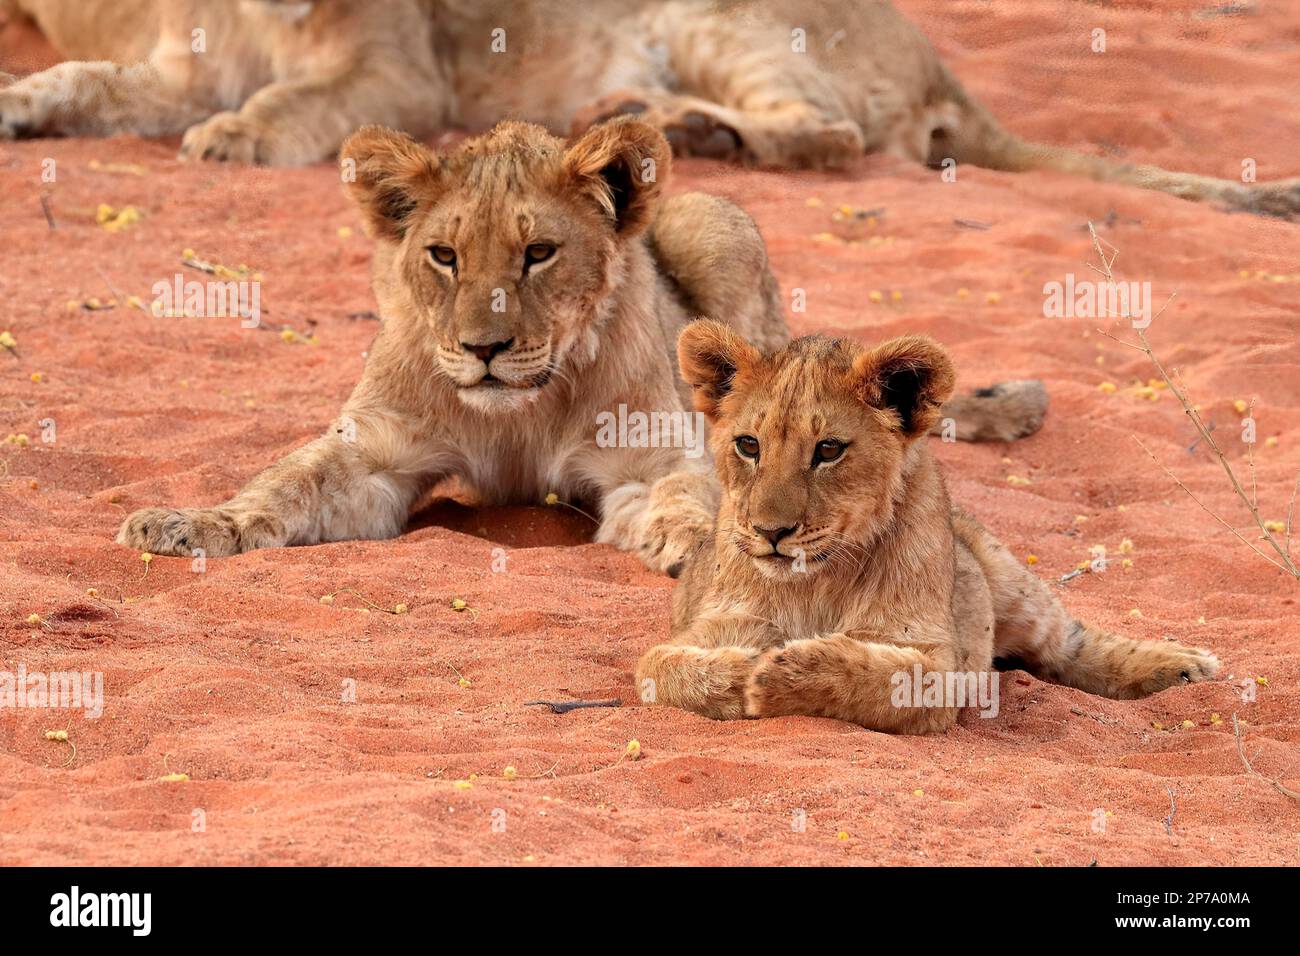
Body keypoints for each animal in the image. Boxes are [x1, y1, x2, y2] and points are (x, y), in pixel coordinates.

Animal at [113, 117, 1044, 569]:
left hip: (711, 225)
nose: (484, 349)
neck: (518, 409)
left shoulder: (653, 454)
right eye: (444, 255)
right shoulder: (372, 455)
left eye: (538, 252)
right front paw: (192, 524)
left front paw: (697, 542)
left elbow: (687, 492)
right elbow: (281, 484)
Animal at [635, 322, 1219, 731]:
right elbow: (662, 669)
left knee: (1071, 647)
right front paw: (744, 670)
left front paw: (777, 671)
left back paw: (1184, 666)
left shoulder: (943, 661)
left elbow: (880, 674)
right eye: (748, 445)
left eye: (828, 450)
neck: (812, 583)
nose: (771, 532)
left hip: (1012, 587)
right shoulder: (705, 628)